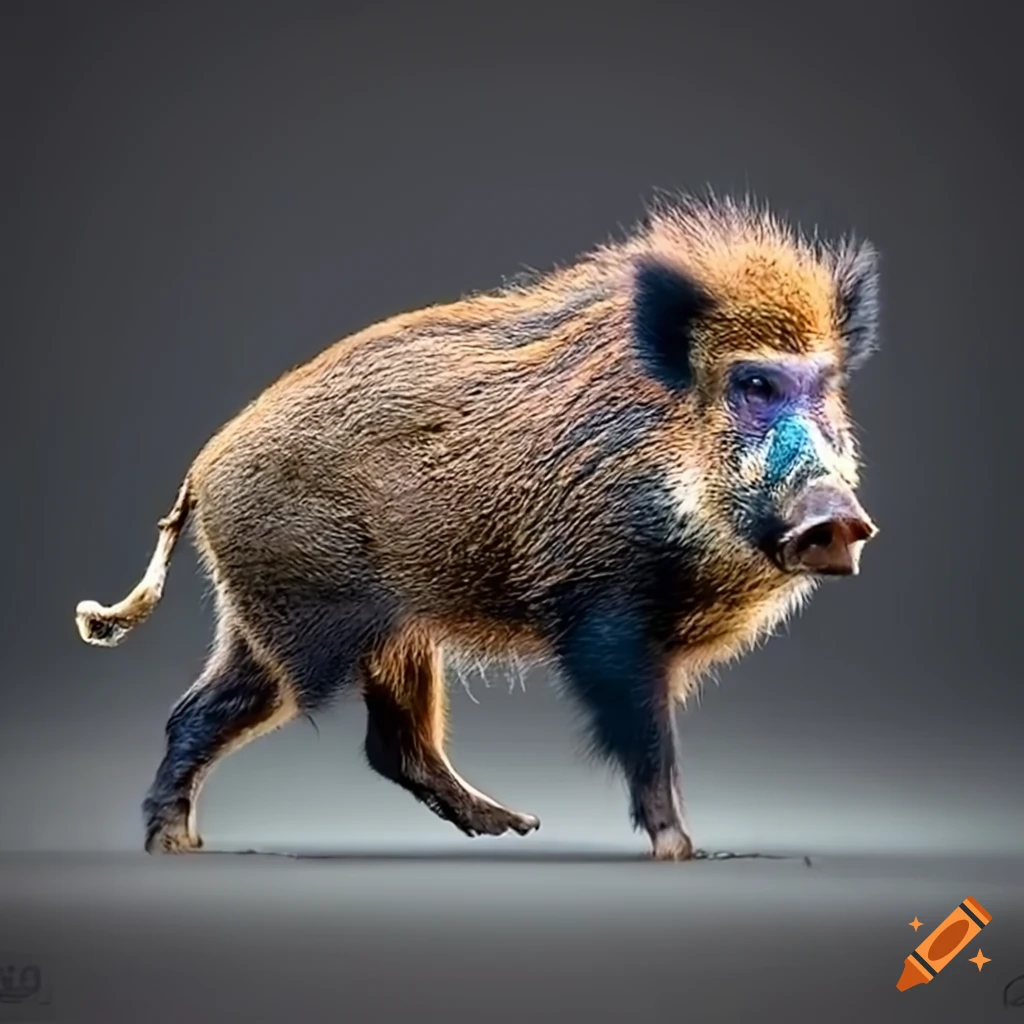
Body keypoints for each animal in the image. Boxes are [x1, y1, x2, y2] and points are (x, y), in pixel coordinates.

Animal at [74, 192, 880, 860]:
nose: (838, 519)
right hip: (309, 622)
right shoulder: (602, 615)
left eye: (825, 387)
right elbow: (647, 740)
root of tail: (202, 469)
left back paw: (514, 826)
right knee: (257, 716)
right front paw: (683, 851)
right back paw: (176, 844)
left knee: (345, 735)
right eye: (754, 384)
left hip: (354, 631)